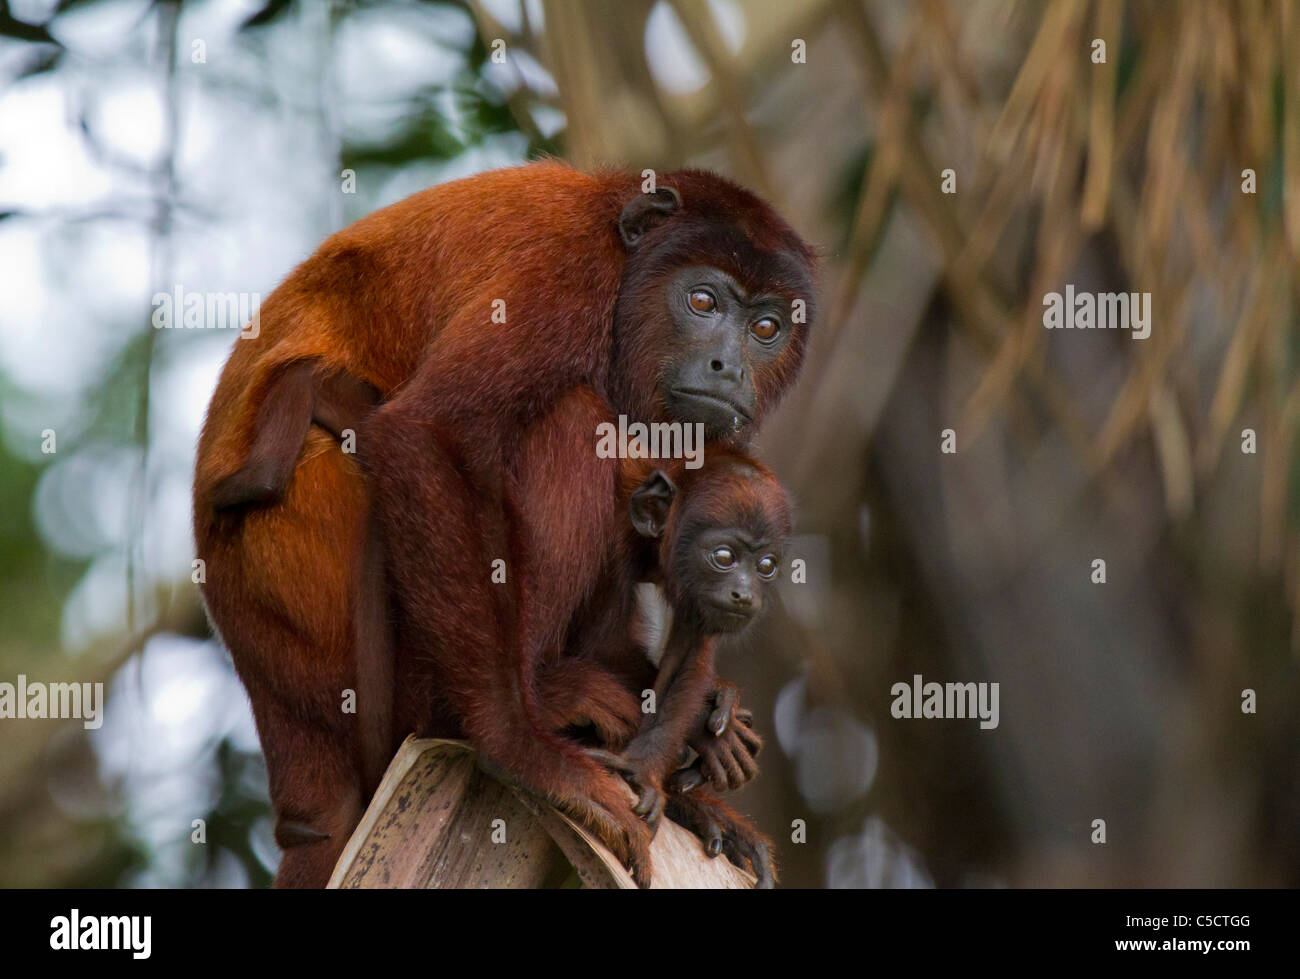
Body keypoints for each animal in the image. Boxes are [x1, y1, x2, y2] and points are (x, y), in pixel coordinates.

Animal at [193, 161, 816, 887]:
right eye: (703, 302)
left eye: (767, 328)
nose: (729, 367)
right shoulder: (559, 274)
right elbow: (426, 433)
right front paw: (524, 752)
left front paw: (705, 721)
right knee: (572, 419)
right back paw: (541, 705)